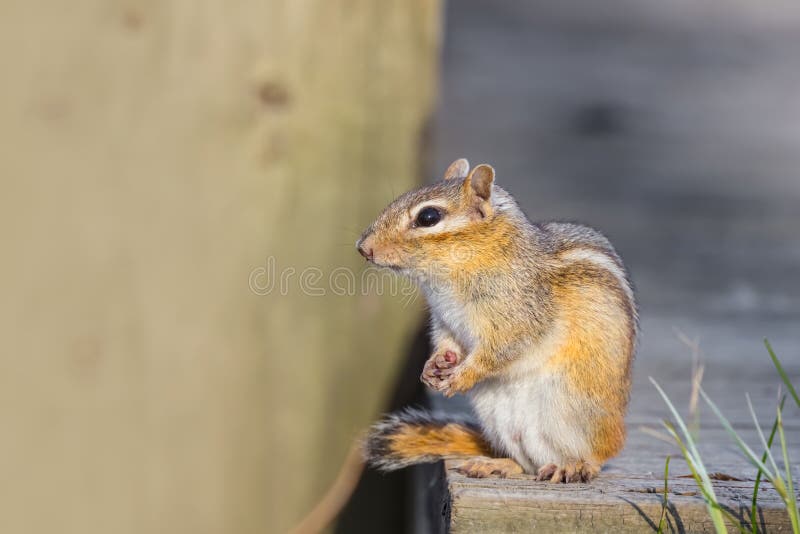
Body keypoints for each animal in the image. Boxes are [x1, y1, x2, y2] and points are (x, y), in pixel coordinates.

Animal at [355, 159, 638, 482]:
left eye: (428, 217)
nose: (363, 247)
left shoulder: (520, 316)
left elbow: (503, 349)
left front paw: (463, 375)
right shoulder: (445, 320)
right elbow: (446, 342)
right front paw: (435, 365)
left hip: (574, 411)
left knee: (597, 456)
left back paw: (575, 465)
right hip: (501, 421)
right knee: (527, 465)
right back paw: (496, 464)